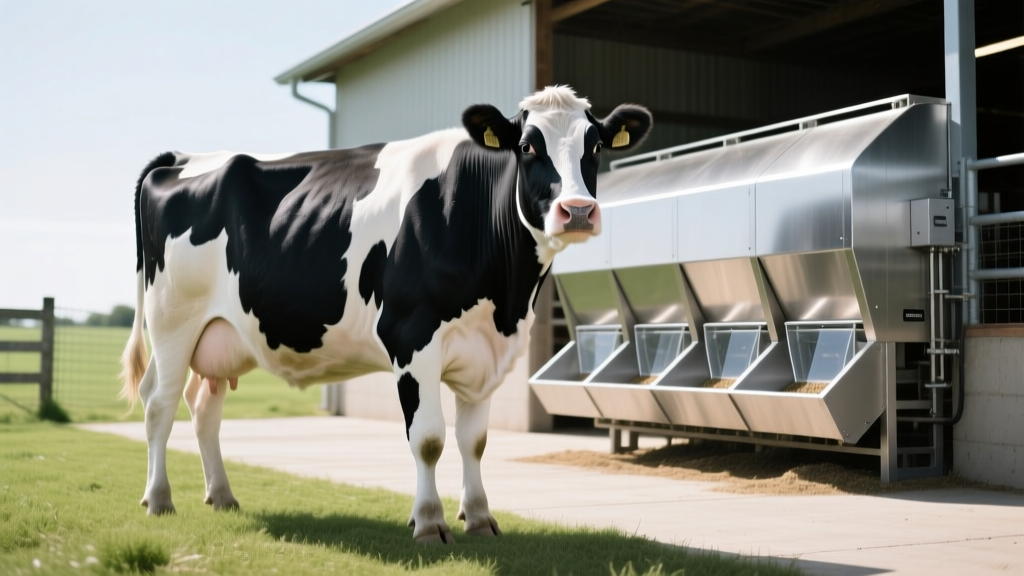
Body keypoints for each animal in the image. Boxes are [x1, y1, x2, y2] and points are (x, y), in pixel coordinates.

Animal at [119, 85, 651, 543]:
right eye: (526, 146)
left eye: (596, 146)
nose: (577, 210)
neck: (505, 298)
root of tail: (183, 158)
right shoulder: (411, 338)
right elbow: (429, 438)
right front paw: (430, 523)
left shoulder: (486, 350)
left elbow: (474, 441)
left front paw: (480, 518)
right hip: (172, 321)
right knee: (159, 403)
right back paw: (158, 499)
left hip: (221, 334)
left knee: (203, 406)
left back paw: (222, 496)